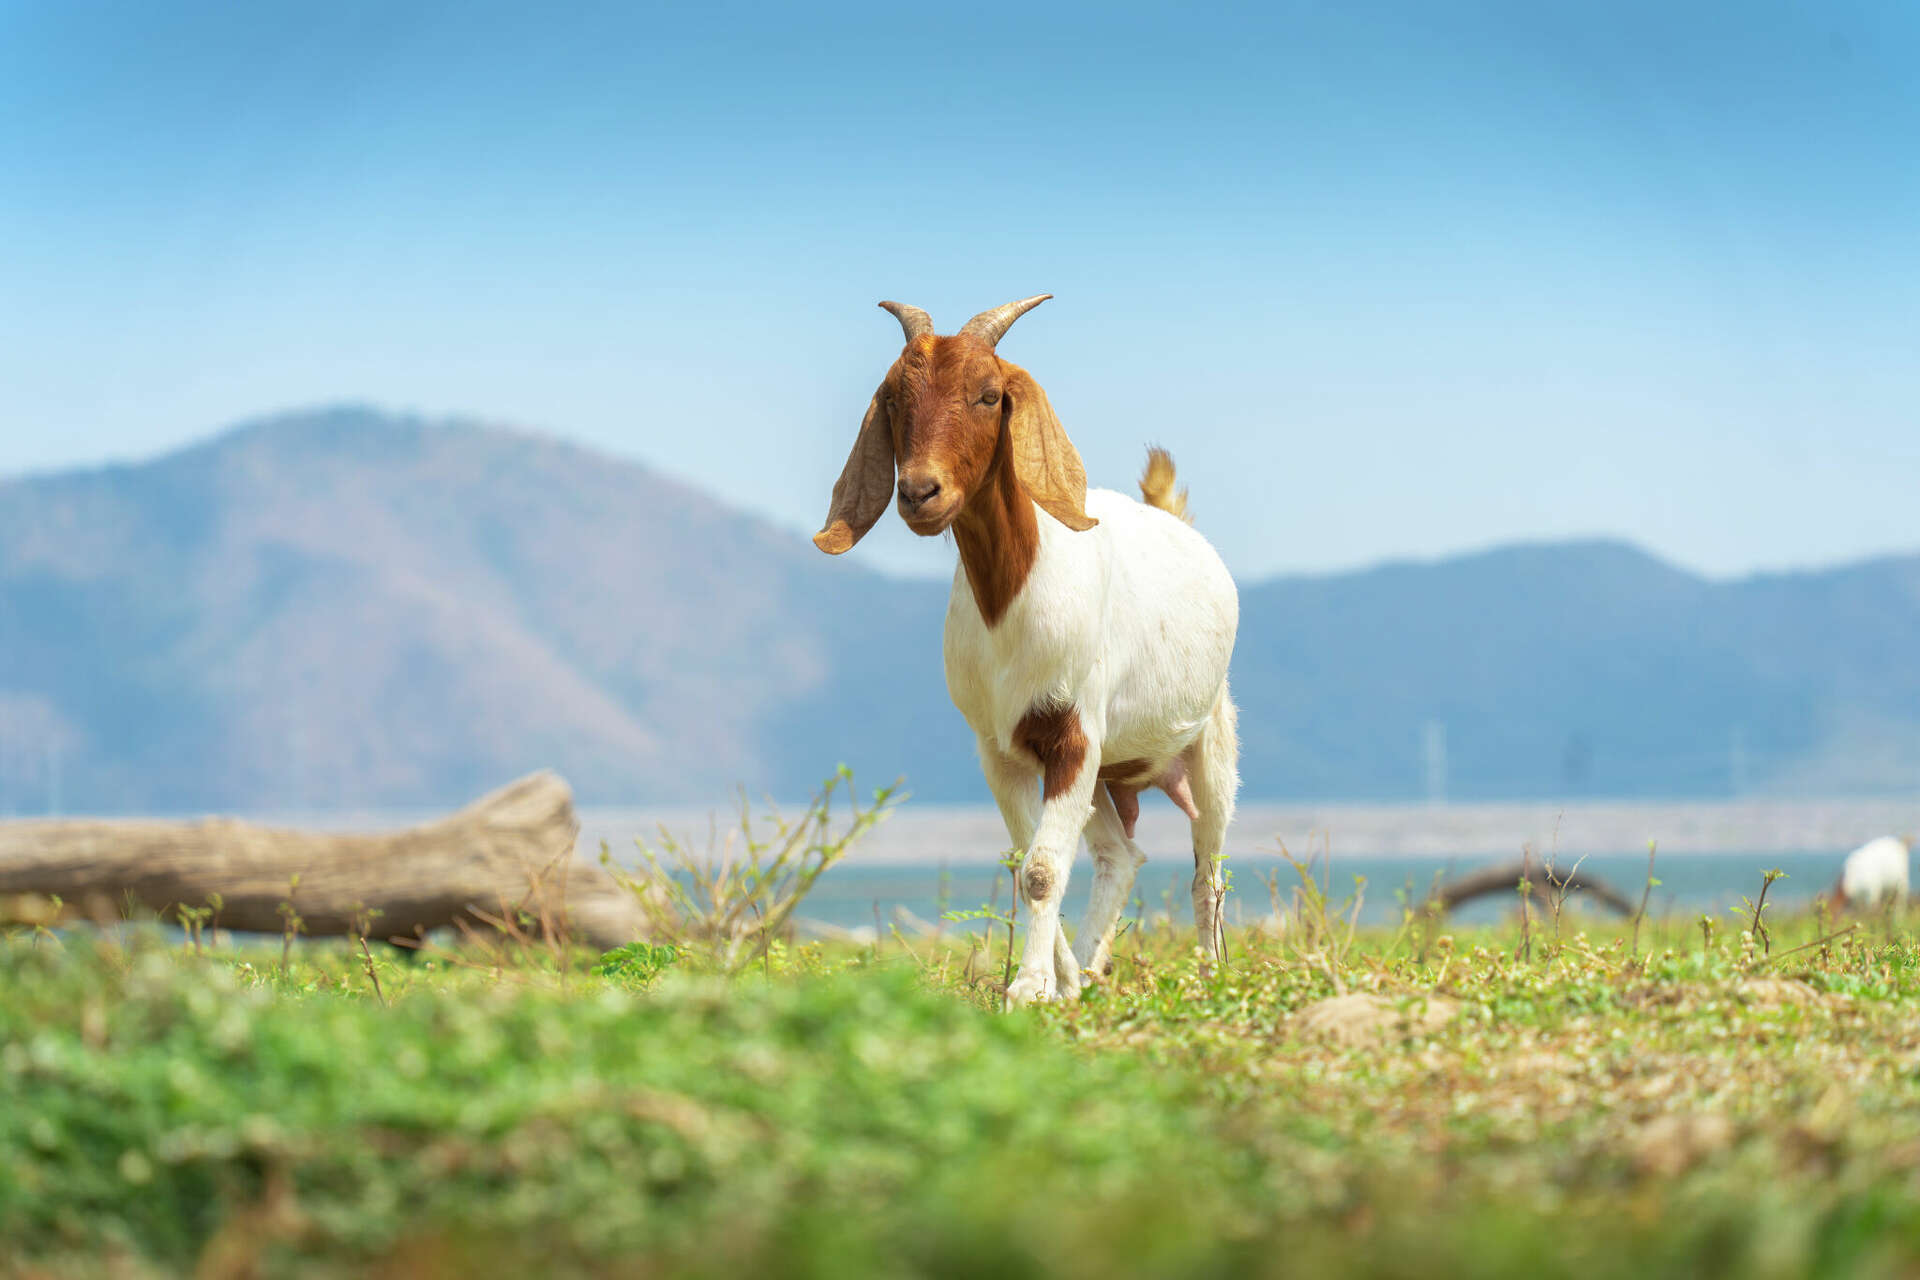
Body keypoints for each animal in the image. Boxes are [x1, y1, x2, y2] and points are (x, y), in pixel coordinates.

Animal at [814, 295, 1239, 1005]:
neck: (1012, 604)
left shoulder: (1073, 734)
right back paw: (1090, 971)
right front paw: (1054, 983)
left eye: (989, 395)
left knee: (1207, 868)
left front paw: (1031, 986)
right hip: (1107, 771)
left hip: (1209, 740)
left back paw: (1210, 975)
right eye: (894, 399)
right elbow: (1026, 863)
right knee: (1120, 855)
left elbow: (1042, 868)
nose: (919, 493)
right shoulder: (1001, 748)